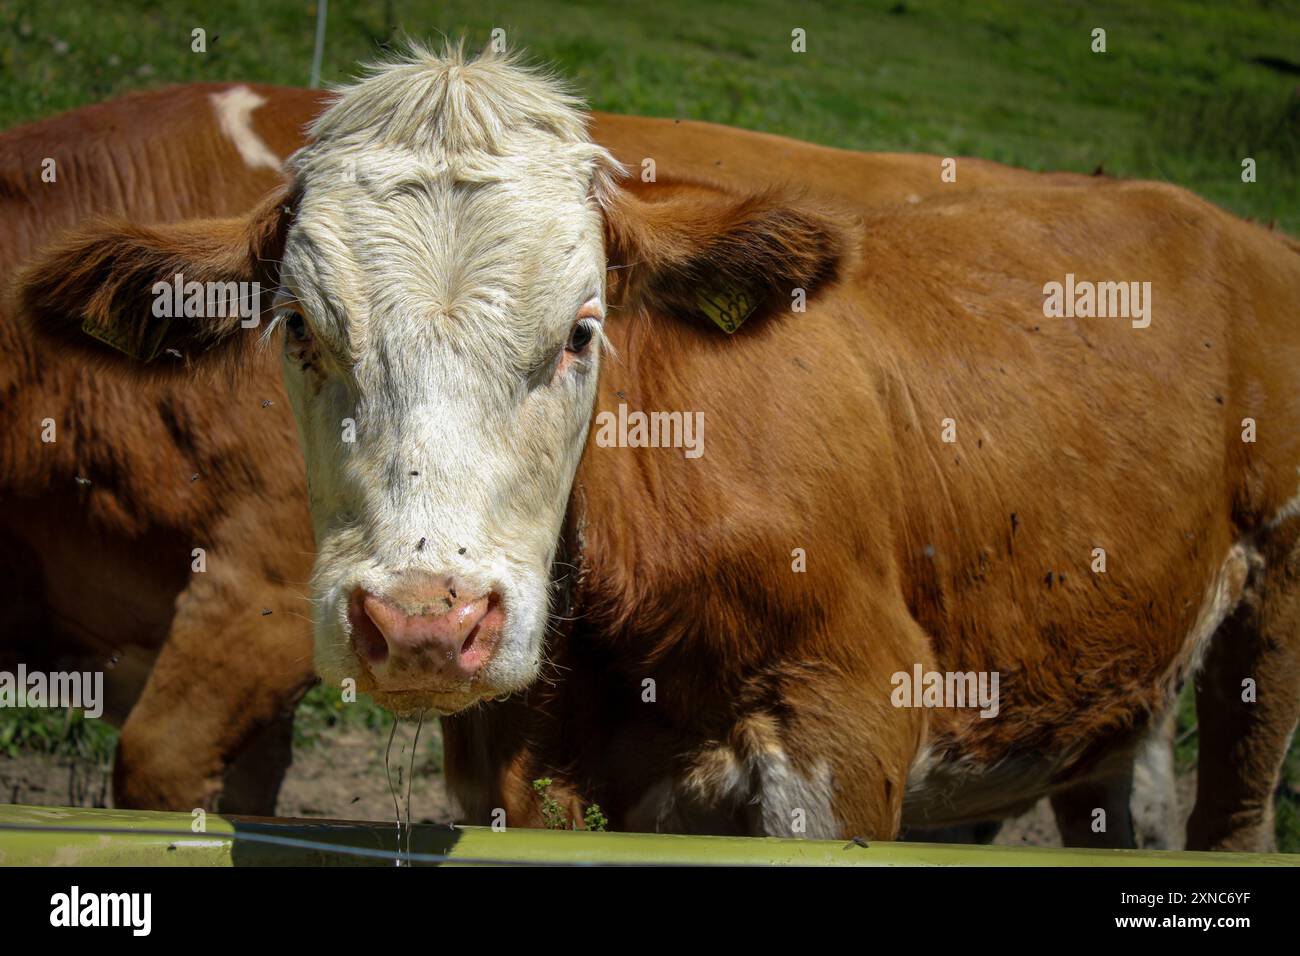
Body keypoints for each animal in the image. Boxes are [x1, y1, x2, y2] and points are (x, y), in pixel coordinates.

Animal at [12, 47, 1280, 849]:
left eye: (583, 330)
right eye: (296, 327)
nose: (425, 621)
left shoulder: (849, 725)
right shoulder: (517, 765)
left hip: (1269, 607)